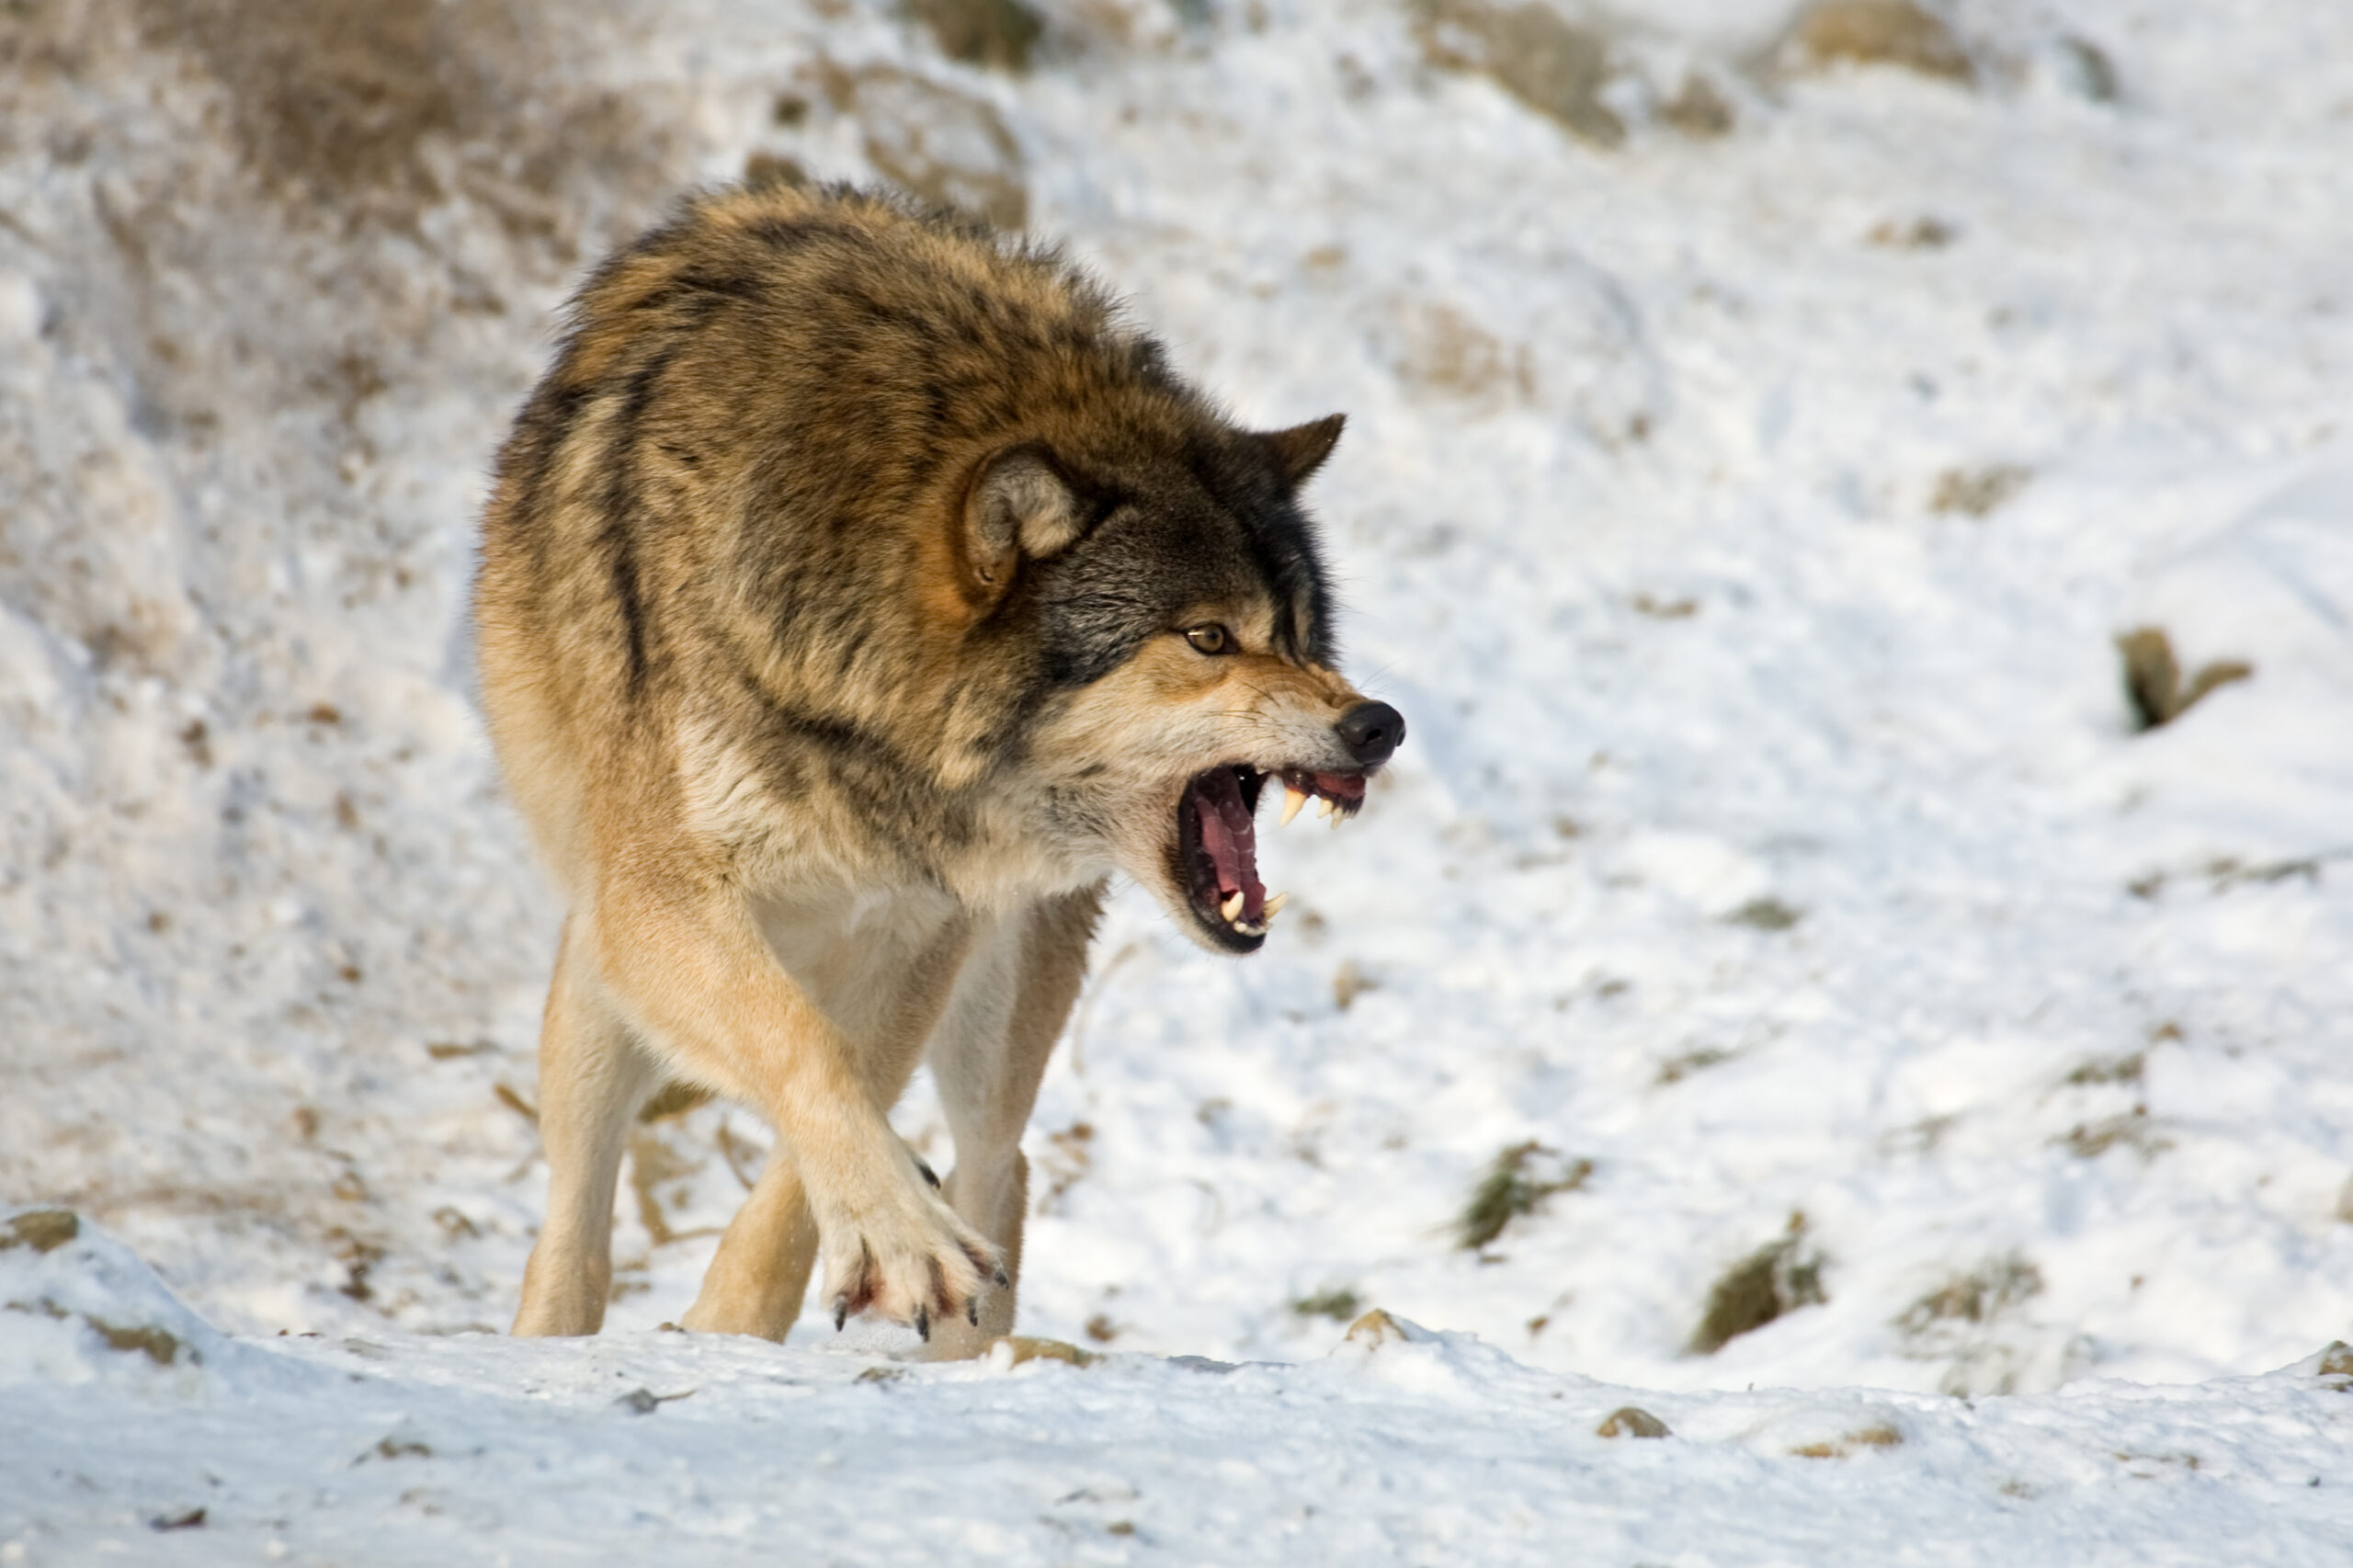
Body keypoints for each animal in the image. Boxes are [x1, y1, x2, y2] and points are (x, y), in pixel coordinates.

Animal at [475, 182, 1404, 1356]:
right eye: (1207, 639)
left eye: (1299, 633)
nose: (1379, 724)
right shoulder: (656, 901)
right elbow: (805, 1056)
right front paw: (892, 1247)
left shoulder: (924, 927)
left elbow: (812, 1154)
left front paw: (755, 1317)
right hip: (597, 984)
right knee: (575, 1207)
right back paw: (549, 1333)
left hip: (998, 992)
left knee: (1000, 1163)